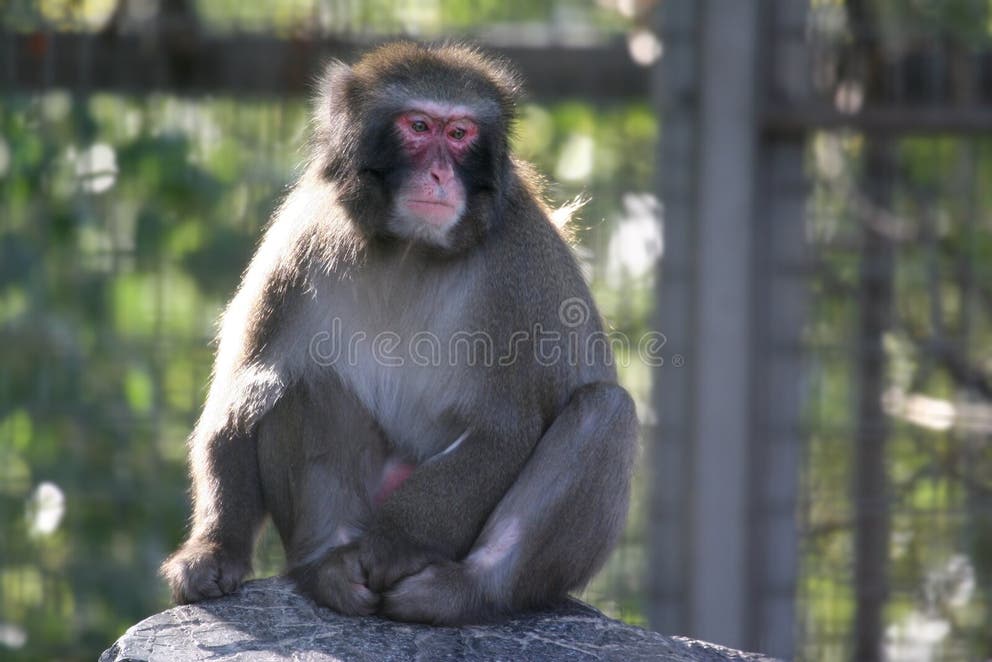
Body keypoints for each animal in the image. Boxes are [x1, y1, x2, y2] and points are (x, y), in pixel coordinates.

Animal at [160, 41, 638, 625]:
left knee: (607, 411)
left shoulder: (516, 274)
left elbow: (504, 429)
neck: (412, 248)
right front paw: (213, 550)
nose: (439, 175)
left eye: (460, 133)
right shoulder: (300, 241)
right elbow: (242, 394)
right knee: (301, 382)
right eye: (418, 126)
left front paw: (388, 547)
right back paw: (328, 565)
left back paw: (464, 590)